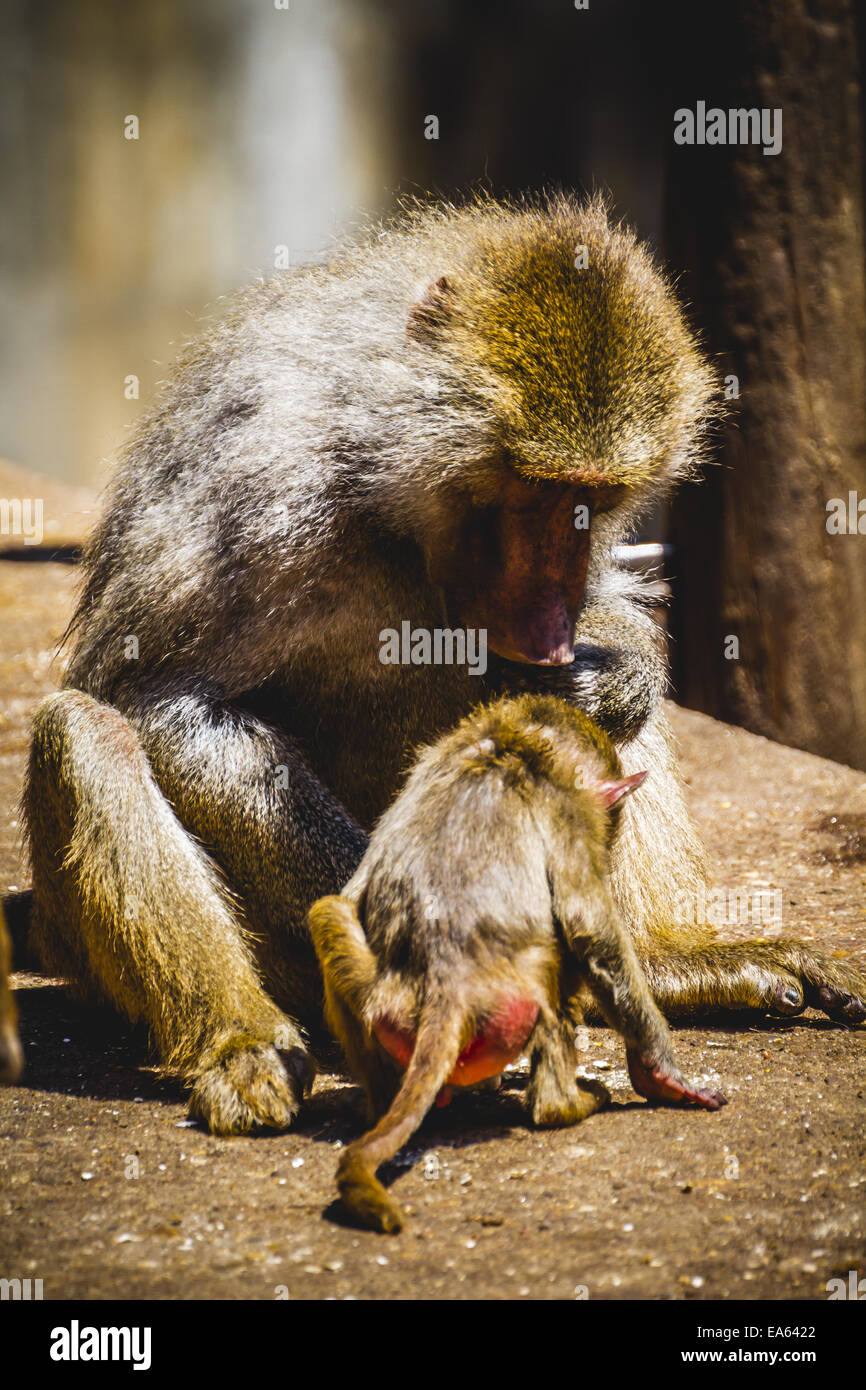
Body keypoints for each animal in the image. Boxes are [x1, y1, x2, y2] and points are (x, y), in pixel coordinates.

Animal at [22, 192, 865, 1137]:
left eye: (593, 503)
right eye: (535, 493)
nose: (549, 610)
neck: (386, 480)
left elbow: (605, 648)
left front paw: (617, 672)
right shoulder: (265, 480)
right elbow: (160, 696)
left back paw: (668, 962)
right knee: (87, 734)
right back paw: (237, 1042)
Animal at [308, 694, 727, 1234]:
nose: (613, 837)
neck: (511, 745)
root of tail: (445, 986)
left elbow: (352, 891)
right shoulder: (570, 813)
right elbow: (587, 928)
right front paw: (657, 1073)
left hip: (381, 999)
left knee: (329, 912)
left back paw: (380, 1104)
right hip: (504, 1006)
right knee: (554, 969)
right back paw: (565, 1106)